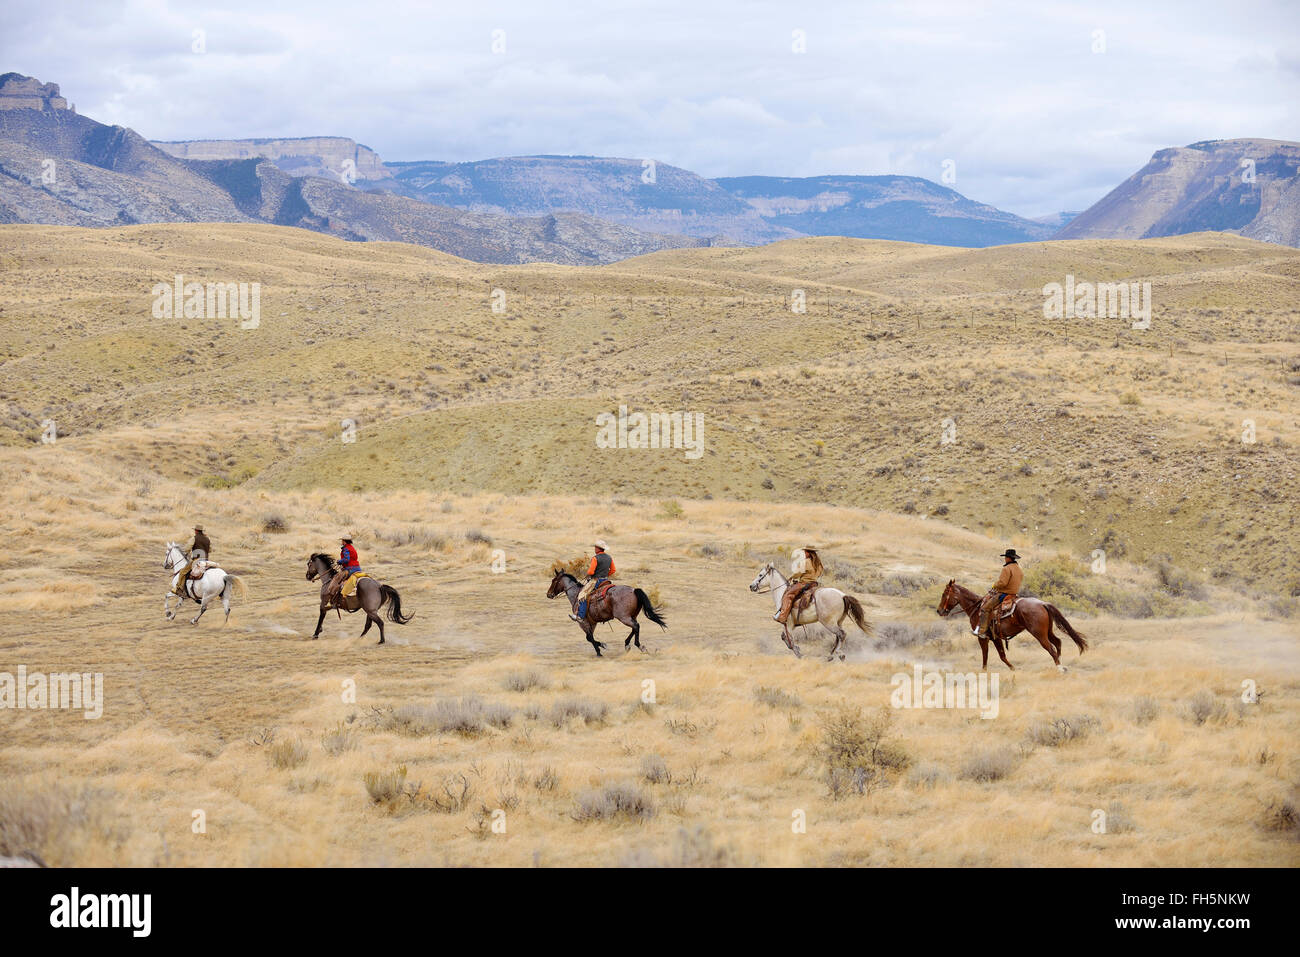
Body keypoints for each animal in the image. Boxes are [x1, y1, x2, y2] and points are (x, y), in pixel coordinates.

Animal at [936, 579, 1088, 672]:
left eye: (944, 594)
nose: (939, 611)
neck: (977, 608)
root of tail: (1042, 604)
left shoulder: (983, 637)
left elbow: (987, 655)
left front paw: (984, 671)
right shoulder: (996, 638)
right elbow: (1002, 655)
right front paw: (1013, 669)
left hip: (1039, 634)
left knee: (1051, 648)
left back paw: (1060, 668)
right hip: (1048, 631)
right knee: (1058, 643)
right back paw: (1062, 665)